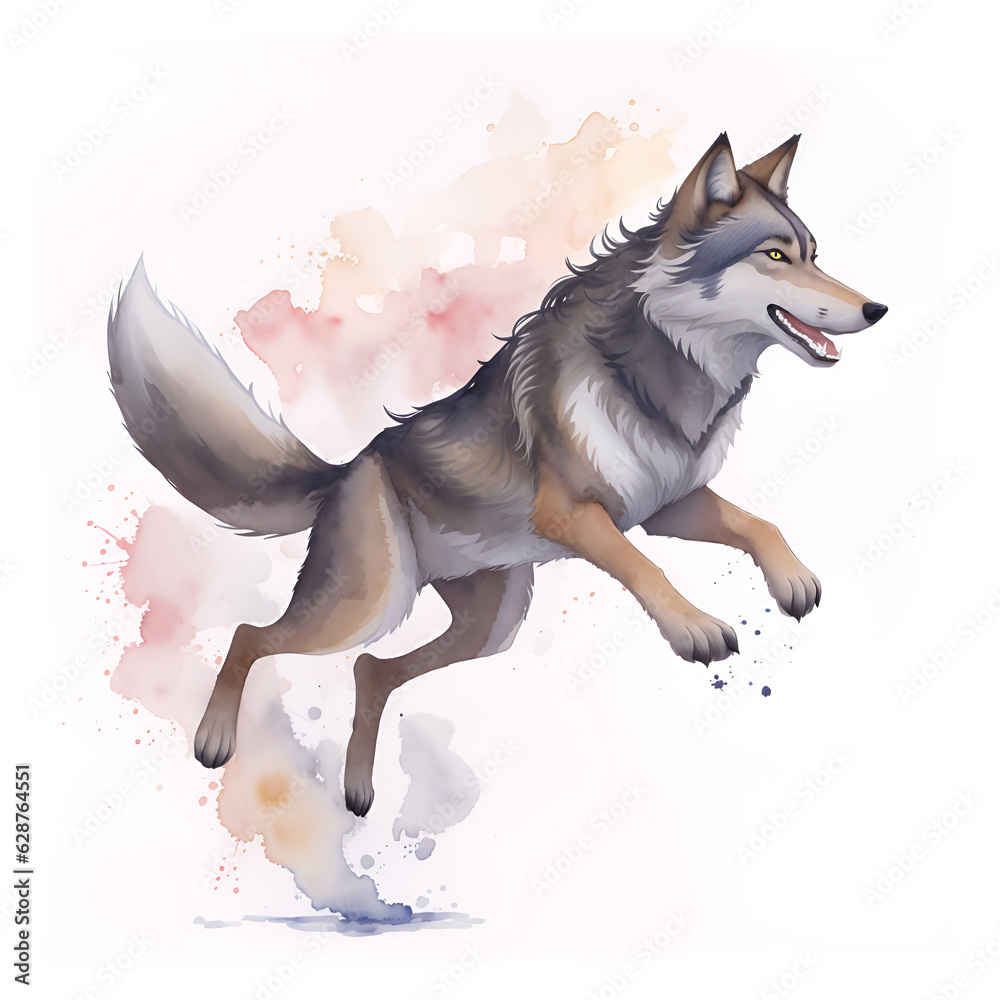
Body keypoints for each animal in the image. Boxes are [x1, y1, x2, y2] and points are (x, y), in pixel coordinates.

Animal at [108, 133, 887, 816]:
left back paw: (358, 792)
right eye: (776, 256)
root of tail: (343, 471)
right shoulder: (576, 515)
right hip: (371, 604)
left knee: (371, 669)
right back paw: (215, 741)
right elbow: (647, 568)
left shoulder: (666, 506)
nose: (876, 308)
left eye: (814, 255)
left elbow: (761, 523)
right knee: (251, 635)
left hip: (492, 625)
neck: (658, 367)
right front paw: (694, 628)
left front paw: (792, 582)